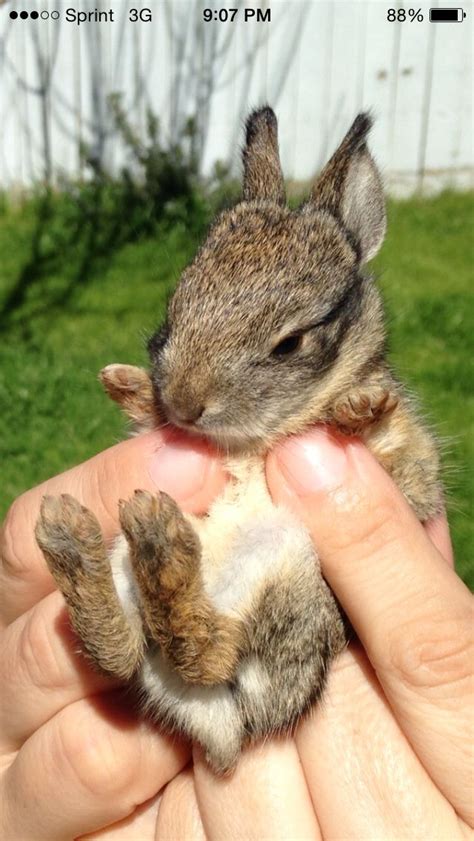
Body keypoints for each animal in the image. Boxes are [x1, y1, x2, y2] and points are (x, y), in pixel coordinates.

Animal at [35, 107, 442, 774]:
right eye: (174, 307)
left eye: (290, 342)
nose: (183, 402)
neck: (256, 438)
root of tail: (228, 726)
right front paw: (127, 386)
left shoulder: (411, 469)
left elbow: (392, 443)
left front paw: (358, 407)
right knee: (125, 654)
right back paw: (81, 539)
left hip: (287, 578)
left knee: (207, 653)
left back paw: (156, 542)